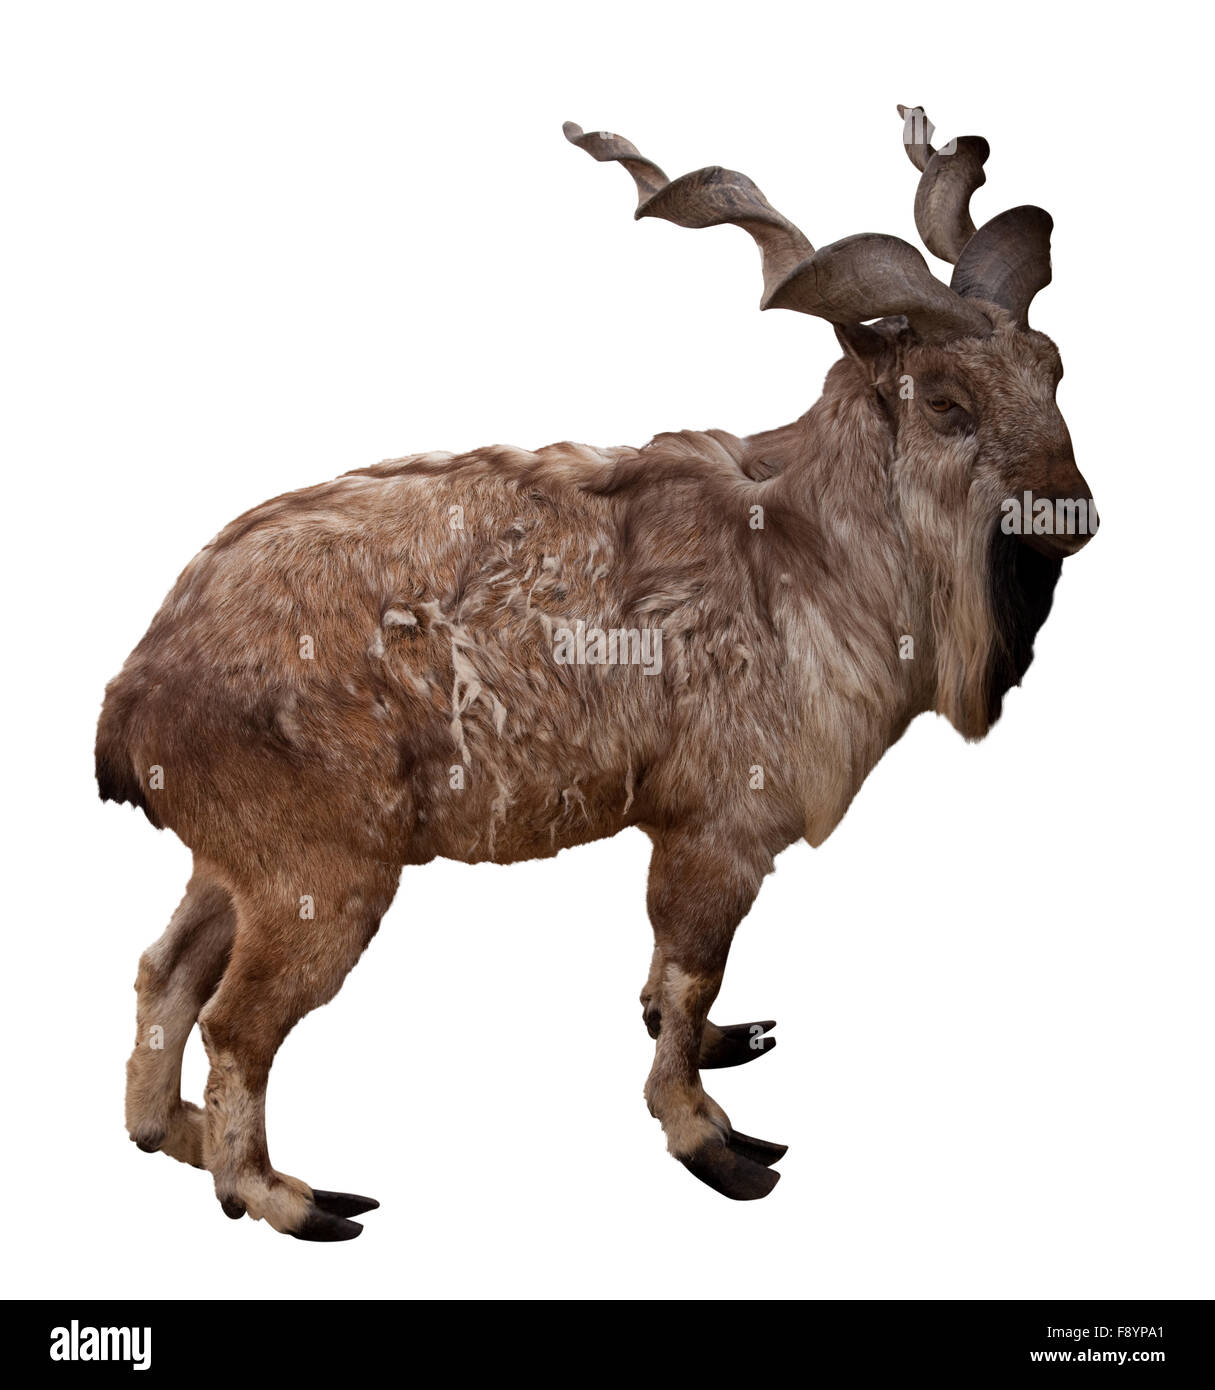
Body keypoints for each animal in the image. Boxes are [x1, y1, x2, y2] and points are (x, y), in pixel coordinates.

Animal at [96, 106, 1097, 1239]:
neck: (802, 549)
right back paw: (282, 1195)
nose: (1072, 512)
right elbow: (694, 971)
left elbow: (674, 988)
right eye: (944, 401)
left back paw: (169, 1133)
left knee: (166, 972)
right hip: (318, 876)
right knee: (237, 1023)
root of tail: (135, 692)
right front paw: (711, 1139)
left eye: (1052, 368)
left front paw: (714, 1050)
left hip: (232, 862)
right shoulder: (719, 828)